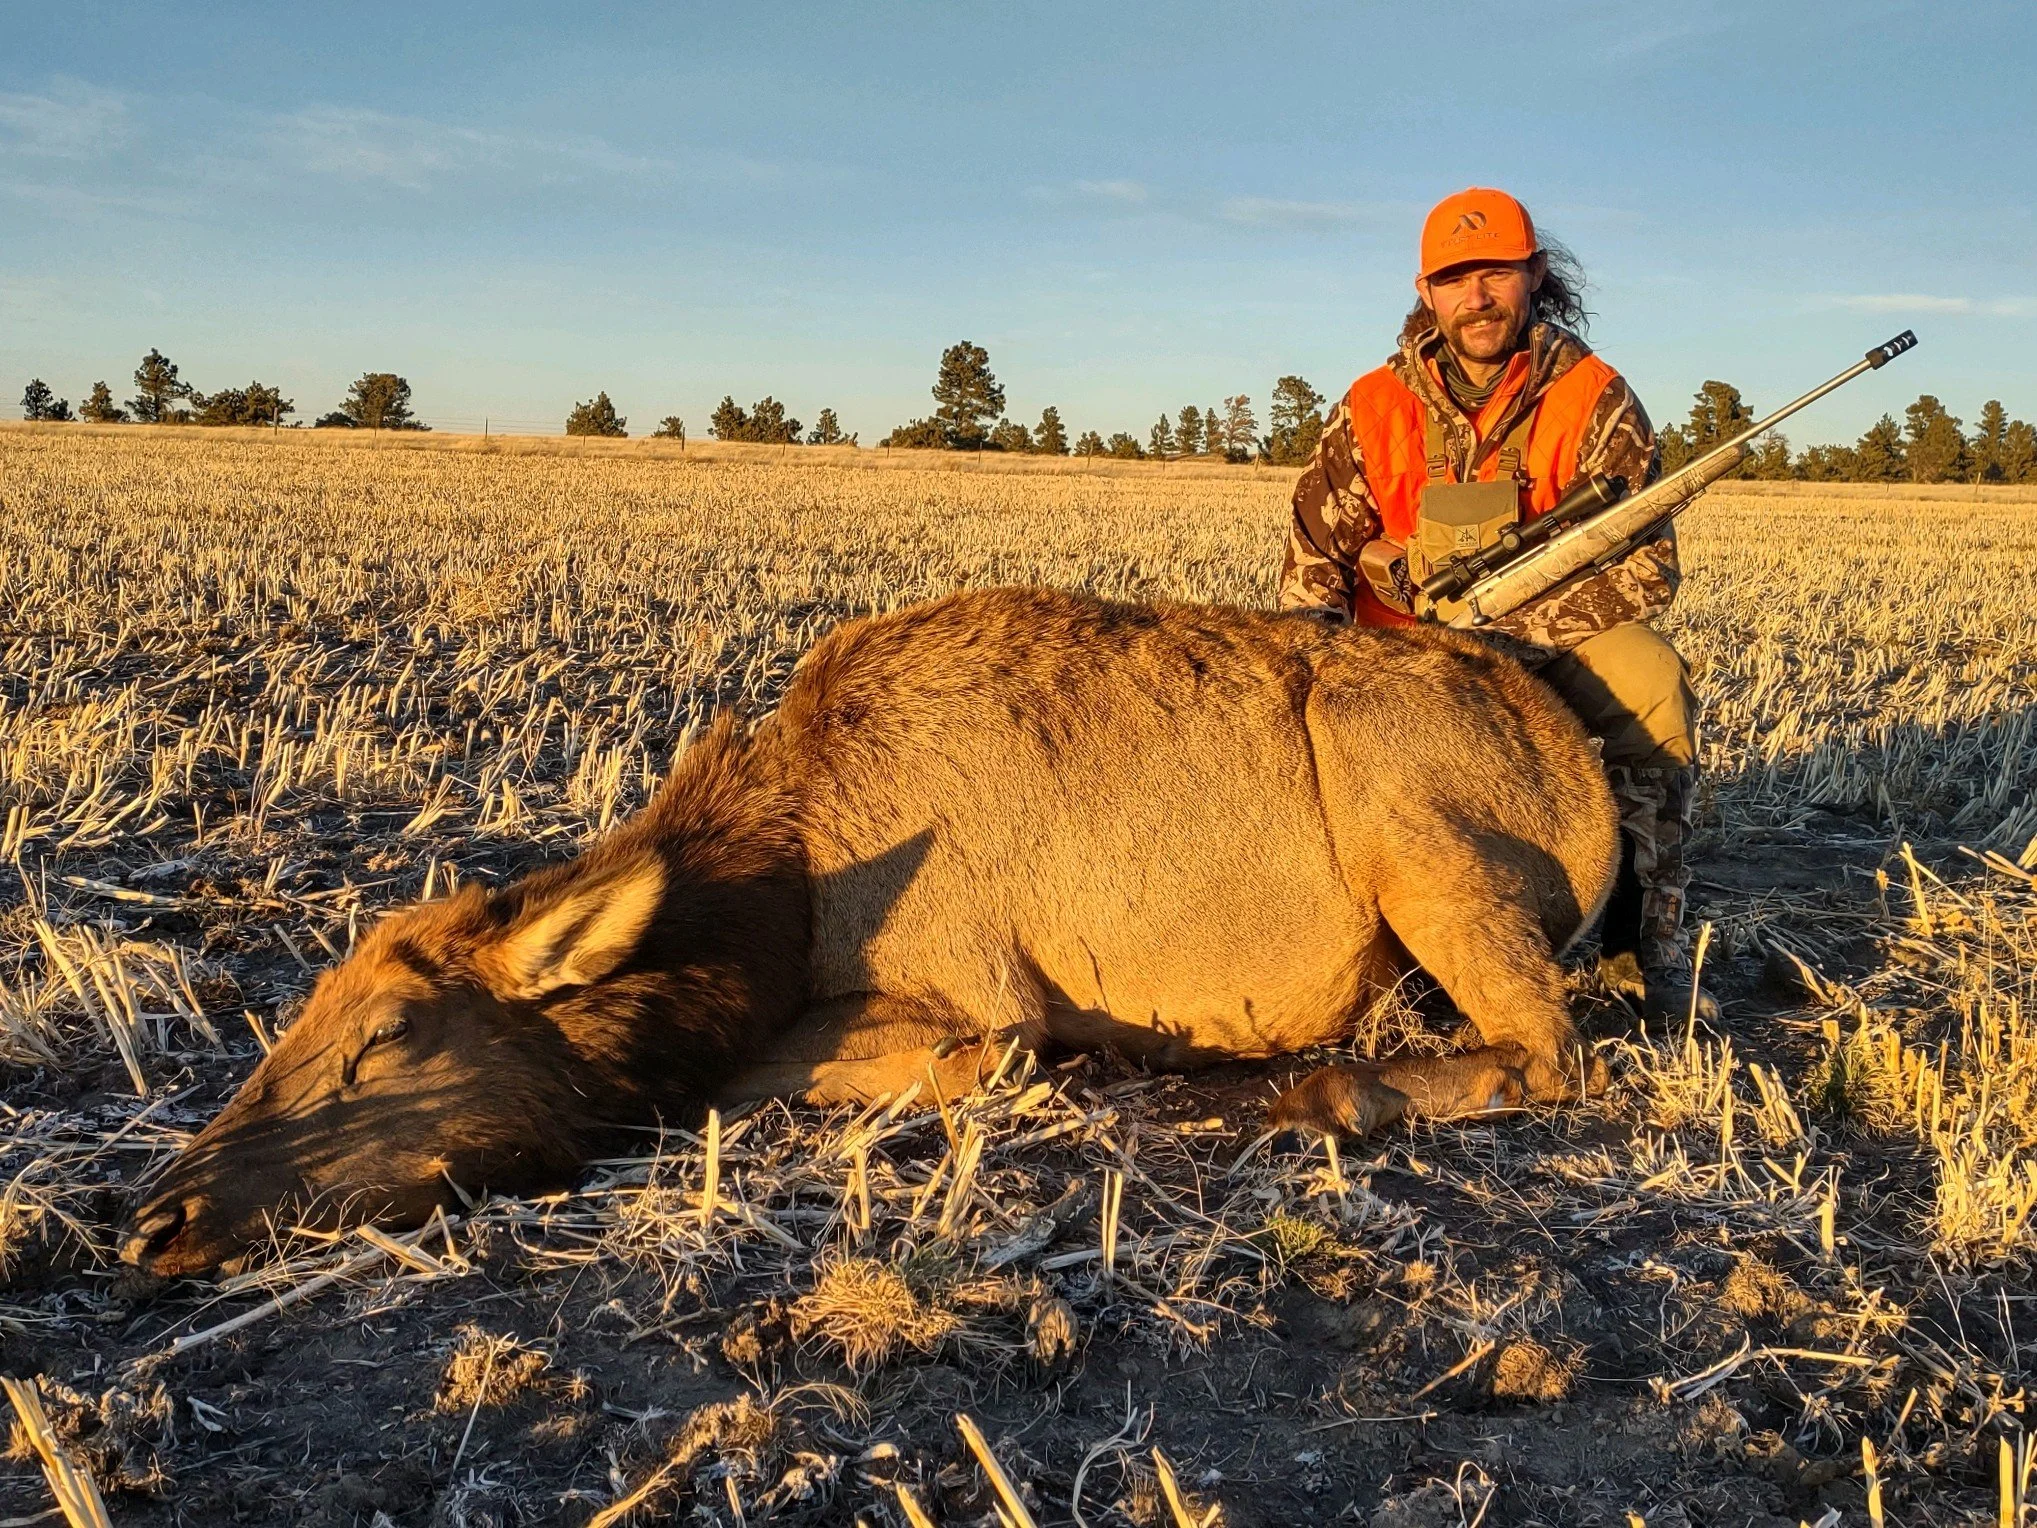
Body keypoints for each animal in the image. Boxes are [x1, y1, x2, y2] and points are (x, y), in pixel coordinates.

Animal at [123, 587, 1617, 1275]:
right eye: (296, 1017)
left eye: (389, 1034)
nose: (154, 1215)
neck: (781, 892)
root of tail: (1589, 777)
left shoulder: (985, 1018)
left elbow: (755, 1076)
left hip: (1409, 820)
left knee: (1550, 1050)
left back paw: (1319, 1091)